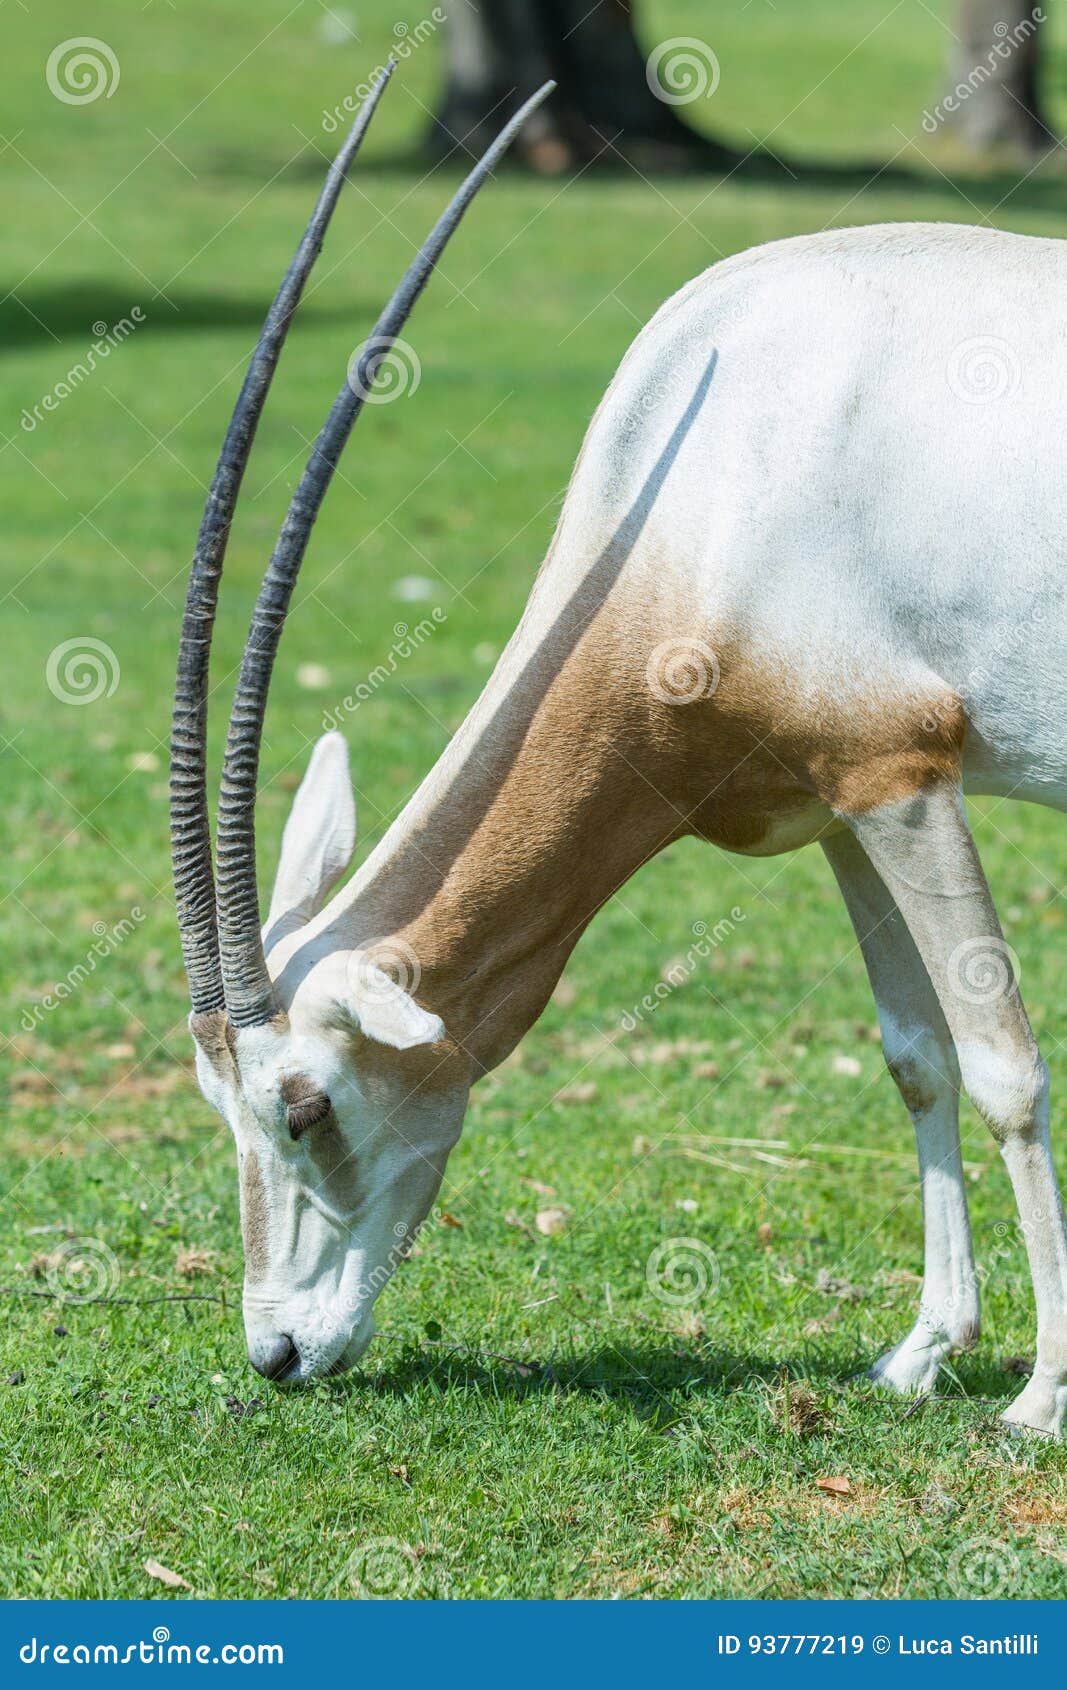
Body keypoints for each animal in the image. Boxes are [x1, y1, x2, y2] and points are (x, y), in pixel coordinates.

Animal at [171, 69, 1067, 1437]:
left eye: (305, 1104)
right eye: (215, 1104)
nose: (273, 1352)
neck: (703, 482)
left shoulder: (906, 778)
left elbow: (1002, 1066)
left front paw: (1037, 1395)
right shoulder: (839, 798)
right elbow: (914, 1056)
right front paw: (920, 1350)